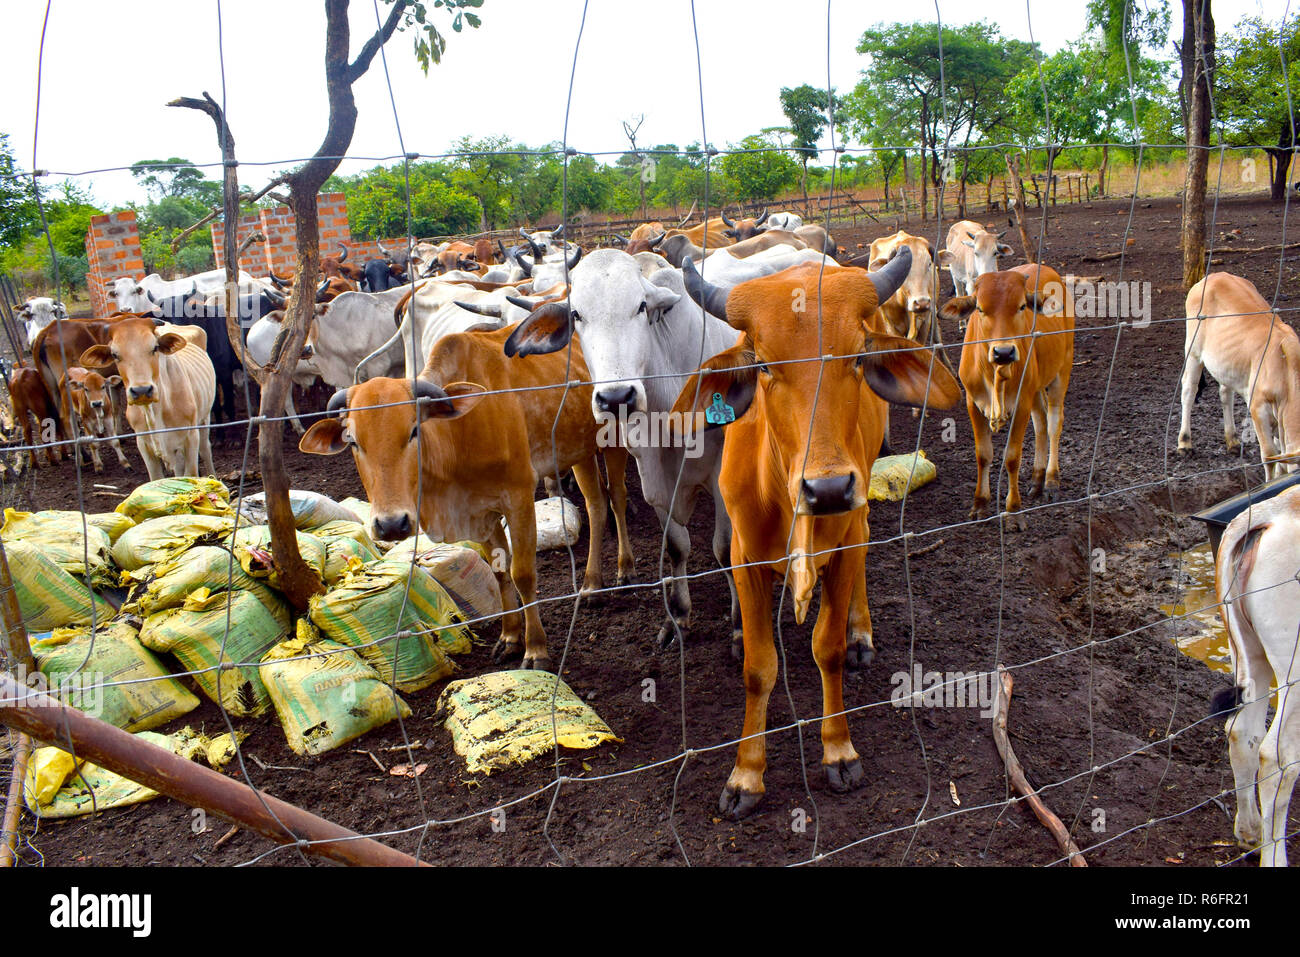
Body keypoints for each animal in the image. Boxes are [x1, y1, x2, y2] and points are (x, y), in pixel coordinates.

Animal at [79, 318, 216, 480]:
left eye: (155, 348)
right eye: (114, 354)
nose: (141, 391)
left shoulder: (191, 437)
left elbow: (191, 473)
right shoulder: (143, 444)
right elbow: (156, 479)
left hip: (204, 419)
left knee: (205, 449)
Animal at [299, 323, 634, 671]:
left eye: (414, 430)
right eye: (352, 441)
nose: (391, 524)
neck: (458, 438)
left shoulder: (518, 499)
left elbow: (523, 574)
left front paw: (535, 649)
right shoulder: (479, 514)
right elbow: (499, 571)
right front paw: (510, 637)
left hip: (614, 438)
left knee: (617, 498)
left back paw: (625, 570)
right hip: (579, 449)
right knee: (596, 505)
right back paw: (592, 585)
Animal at [667, 249, 960, 817]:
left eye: (856, 357)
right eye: (762, 365)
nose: (826, 489)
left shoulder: (846, 540)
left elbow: (827, 648)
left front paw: (838, 750)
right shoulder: (744, 558)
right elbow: (759, 667)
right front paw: (746, 775)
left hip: (860, 508)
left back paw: (861, 633)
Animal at [940, 264, 1075, 530]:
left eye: (1022, 306)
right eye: (980, 308)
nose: (1003, 352)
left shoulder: (1021, 402)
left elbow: (1012, 458)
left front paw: (1013, 511)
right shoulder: (972, 403)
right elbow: (983, 454)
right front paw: (980, 505)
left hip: (1061, 370)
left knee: (1054, 423)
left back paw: (1051, 480)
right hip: (1035, 388)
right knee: (1041, 422)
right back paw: (1037, 478)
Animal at [1177, 272, 1300, 480]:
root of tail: (1214, 275)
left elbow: (1281, 457)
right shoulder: (1258, 407)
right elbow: (1270, 455)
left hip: (1227, 364)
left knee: (1225, 393)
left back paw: (1233, 441)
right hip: (1193, 350)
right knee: (1189, 390)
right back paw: (1185, 443)